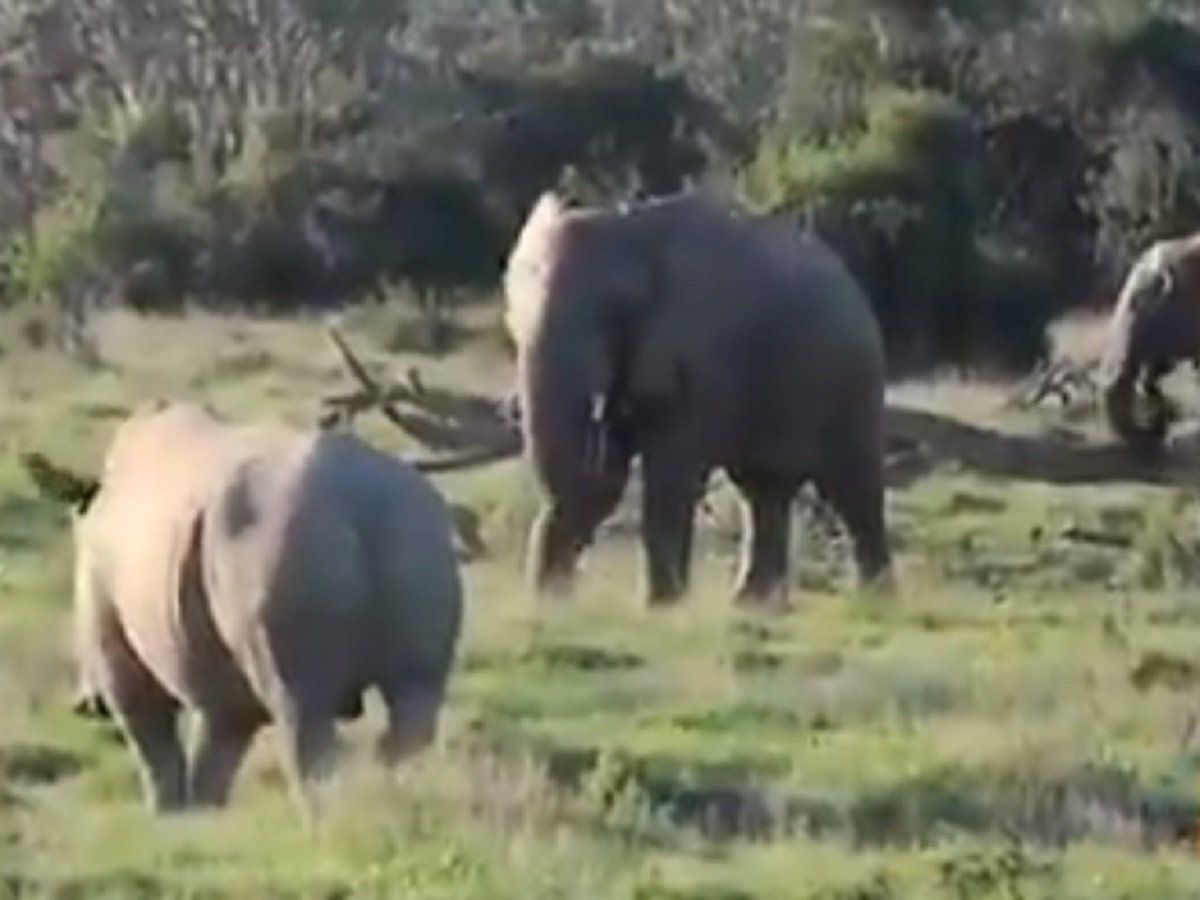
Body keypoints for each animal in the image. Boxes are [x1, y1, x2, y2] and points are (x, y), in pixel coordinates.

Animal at [59, 400, 462, 814]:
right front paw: (202, 816)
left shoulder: (113, 632)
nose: (84, 705)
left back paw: (323, 819)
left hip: (280, 539)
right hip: (416, 532)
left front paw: (165, 815)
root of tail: (354, 497)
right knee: (414, 697)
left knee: (301, 708)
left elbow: (152, 742)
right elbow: (217, 750)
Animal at [503, 191, 893, 607]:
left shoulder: (702, 355)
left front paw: (663, 609)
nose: (555, 597)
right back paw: (754, 606)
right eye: (514, 320)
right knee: (765, 490)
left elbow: (671, 472)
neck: (631, 230)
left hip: (856, 381)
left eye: (614, 311)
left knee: (852, 489)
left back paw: (876, 600)